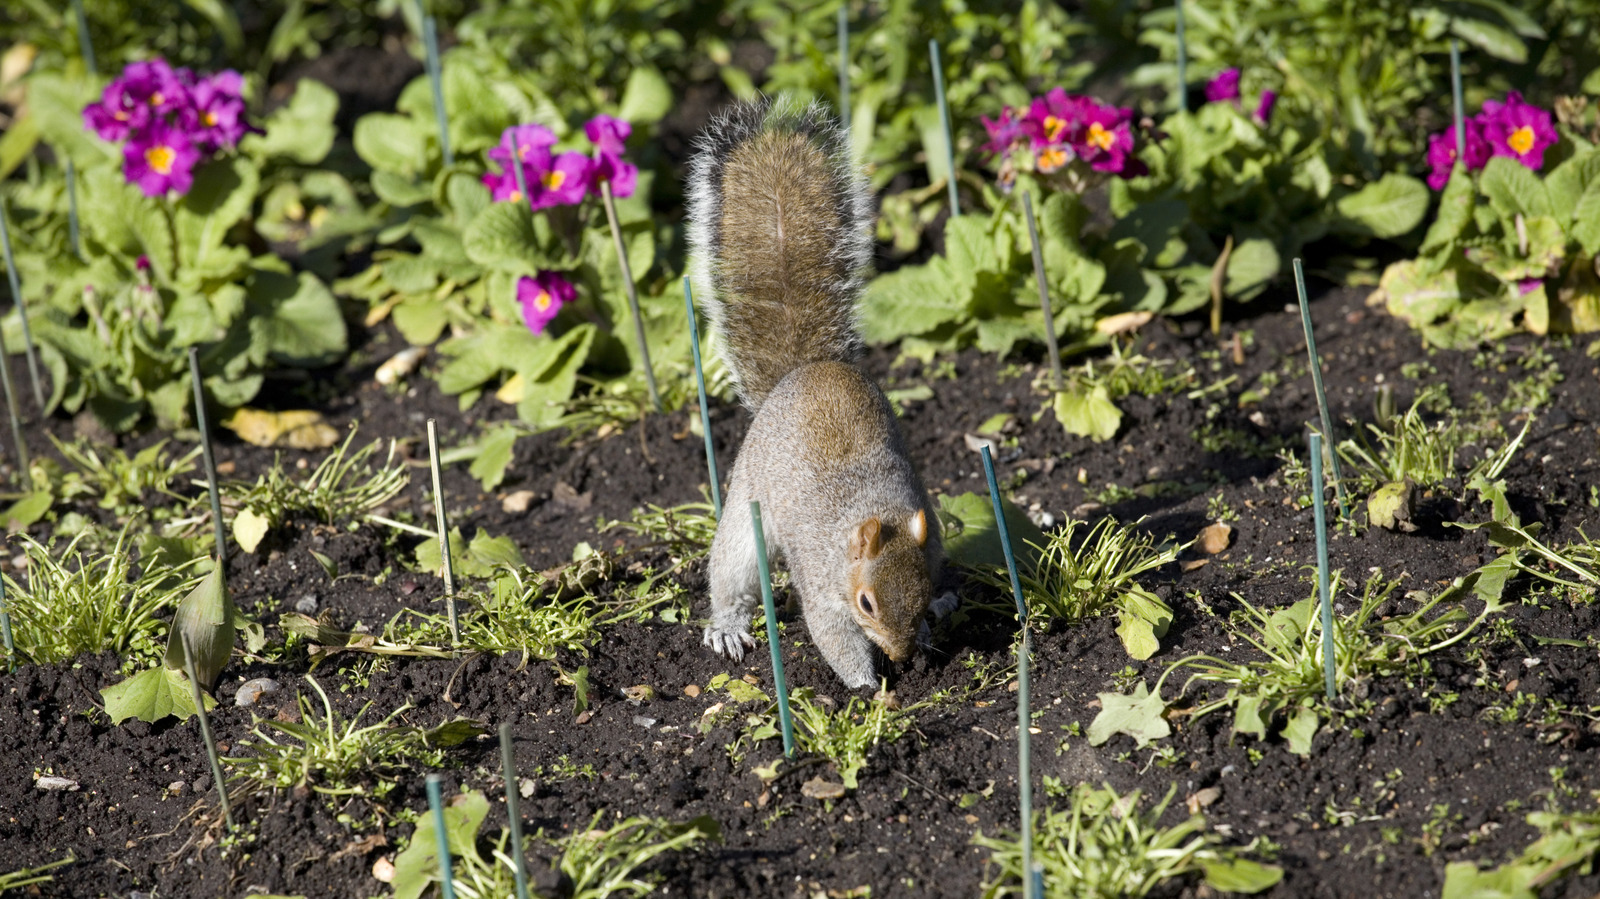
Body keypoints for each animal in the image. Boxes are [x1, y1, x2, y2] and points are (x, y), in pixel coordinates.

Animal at [686, 98, 955, 690]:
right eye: (866, 603)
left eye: (922, 590)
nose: (901, 655)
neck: (872, 510)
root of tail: (806, 370)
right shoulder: (819, 577)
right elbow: (833, 636)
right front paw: (866, 686)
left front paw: (927, 634)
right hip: (744, 515)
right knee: (732, 572)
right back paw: (728, 626)